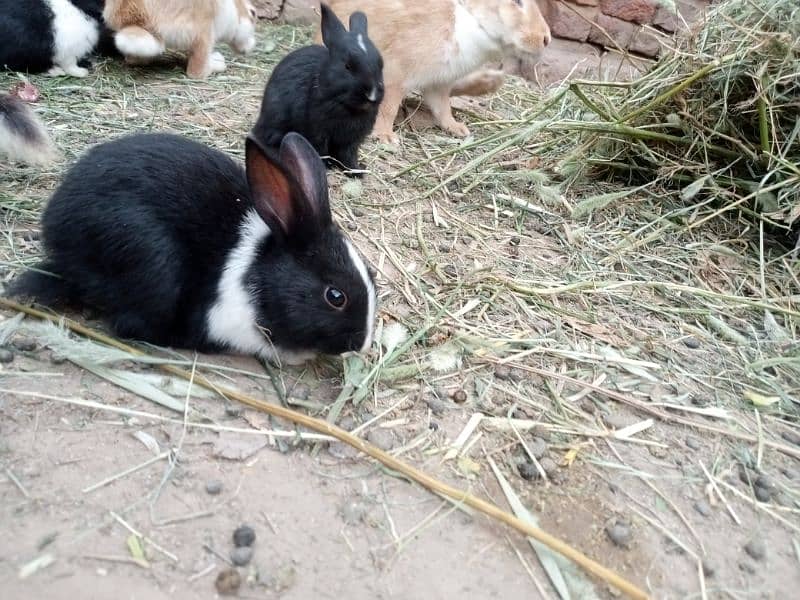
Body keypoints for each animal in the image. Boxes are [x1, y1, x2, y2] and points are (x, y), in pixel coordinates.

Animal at [9, 131, 378, 365]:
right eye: (335, 296)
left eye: (372, 275)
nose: (362, 344)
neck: (261, 273)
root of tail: (58, 239)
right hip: (154, 263)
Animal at [103, 0, 257, 79]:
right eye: (253, 14)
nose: (251, 47)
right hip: (203, 29)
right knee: (197, 70)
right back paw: (217, 63)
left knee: (135, 59)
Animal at [251, 3, 383, 175]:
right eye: (347, 66)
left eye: (381, 65)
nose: (372, 94)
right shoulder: (317, 132)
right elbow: (320, 149)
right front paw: (325, 165)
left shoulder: (351, 141)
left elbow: (348, 156)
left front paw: (357, 171)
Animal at [320, 0, 551, 143]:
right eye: (517, 1)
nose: (546, 39)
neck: (471, 20)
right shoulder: (395, 75)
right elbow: (388, 108)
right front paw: (385, 136)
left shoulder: (438, 84)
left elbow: (443, 108)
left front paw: (457, 128)